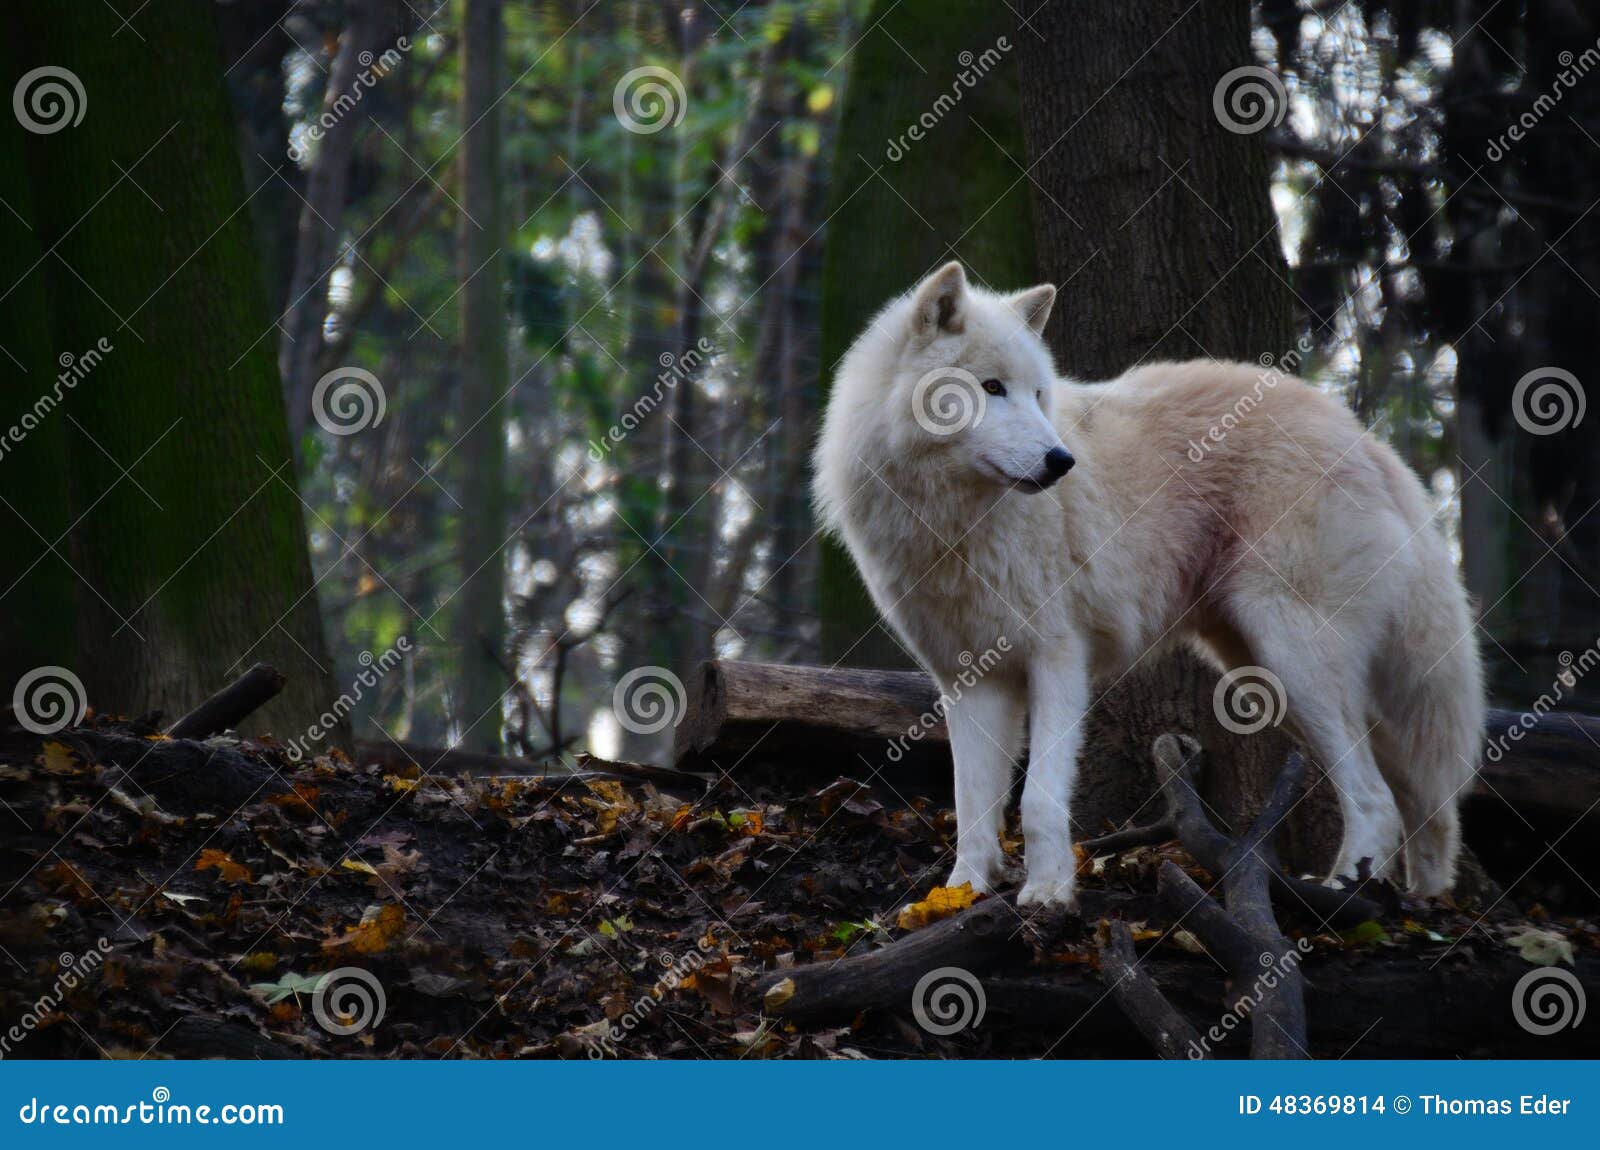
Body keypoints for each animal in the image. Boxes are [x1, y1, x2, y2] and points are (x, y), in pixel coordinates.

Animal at [814, 261, 1483, 908]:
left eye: (1037, 393)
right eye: (991, 388)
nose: (1061, 462)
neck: (955, 525)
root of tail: (1367, 437)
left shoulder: (1058, 657)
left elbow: (1037, 801)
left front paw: (1048, 893)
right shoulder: (969, 680)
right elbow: (973, 808)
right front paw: (957, 895)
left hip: (1292, 657)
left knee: (1375, 798)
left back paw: (1344, 893)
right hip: (1268, 671)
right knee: (1419, 799)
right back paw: (1418, 897)